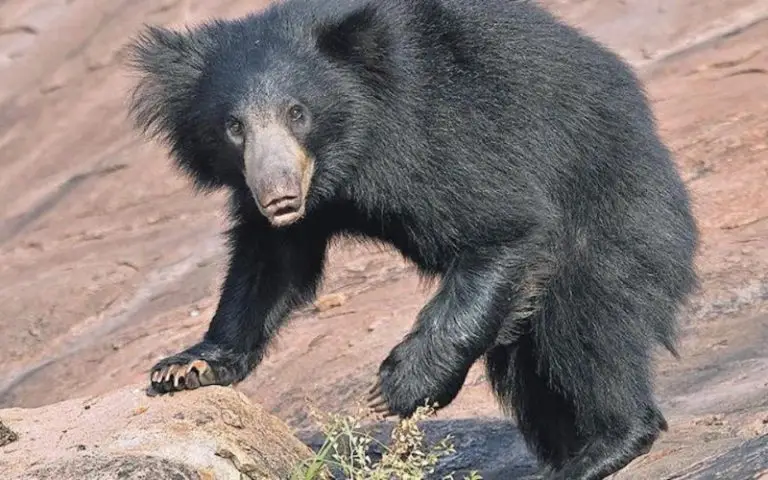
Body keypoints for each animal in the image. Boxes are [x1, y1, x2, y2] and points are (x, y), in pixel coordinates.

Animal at [125, 0, 698, 478]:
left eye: (297, 113)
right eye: (234, 126)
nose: (279, 197)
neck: (347, 155)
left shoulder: (438, 134)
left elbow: (505, 226)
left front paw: (394, 389)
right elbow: (272, 263)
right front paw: (187, 366)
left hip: (615, 213)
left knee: (588, 324)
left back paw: (603, 447)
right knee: (527, 365)